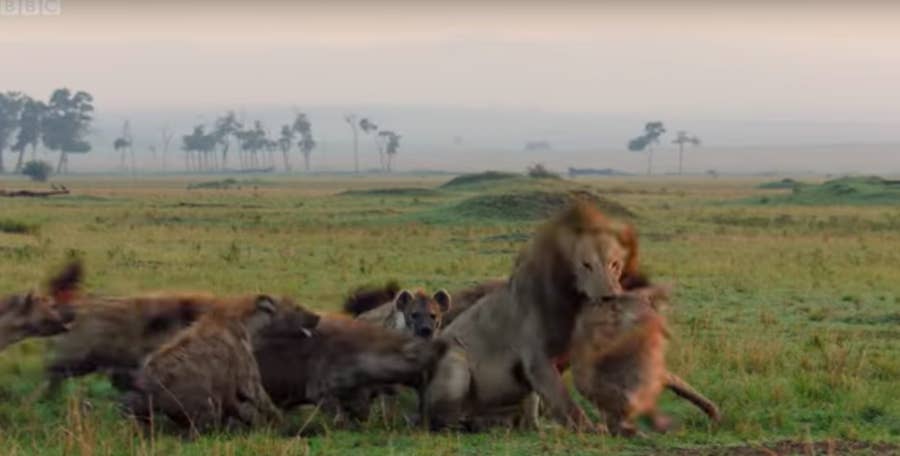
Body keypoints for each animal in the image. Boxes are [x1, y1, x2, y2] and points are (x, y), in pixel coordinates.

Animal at [423, 202, 639, 432]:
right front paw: (590, 429)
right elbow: (564, 400)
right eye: (586, 265)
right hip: (455, 359)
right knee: (440, 419)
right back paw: (472, 424)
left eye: (614, 264)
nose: (609, 296)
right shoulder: (537, 358)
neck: (574, 304)